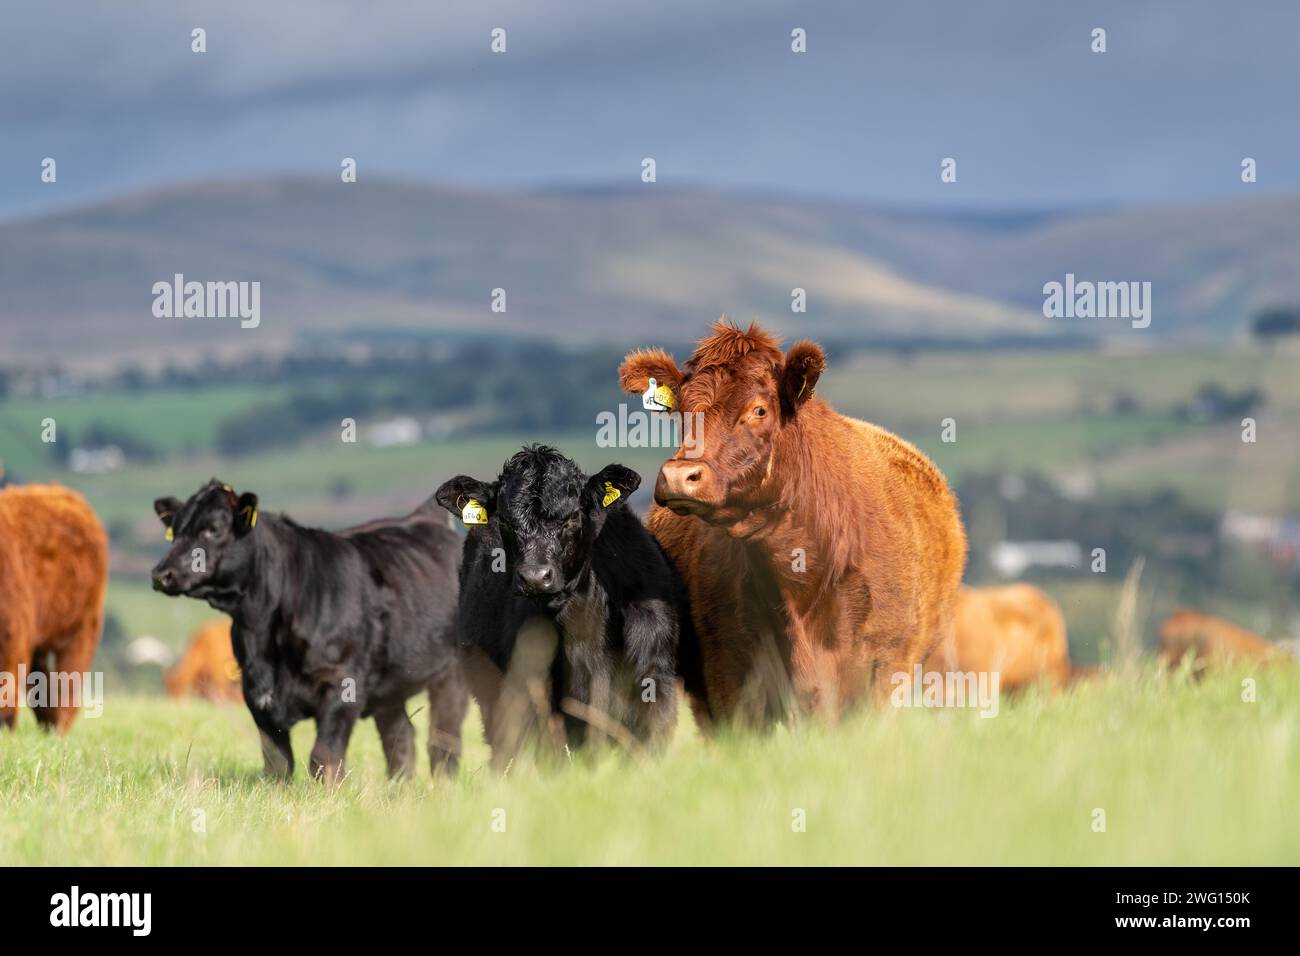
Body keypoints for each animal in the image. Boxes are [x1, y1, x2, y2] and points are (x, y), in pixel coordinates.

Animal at [151, 480, 467, 782]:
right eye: (174, 531)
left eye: (212, 530)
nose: (161, 574)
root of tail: (424, 518)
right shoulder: (256, 695)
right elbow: (277, 763)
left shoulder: (343, 684)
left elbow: (323, 757)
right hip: (390, 686)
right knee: (401, 737)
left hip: (453, 674)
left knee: (443, 740)